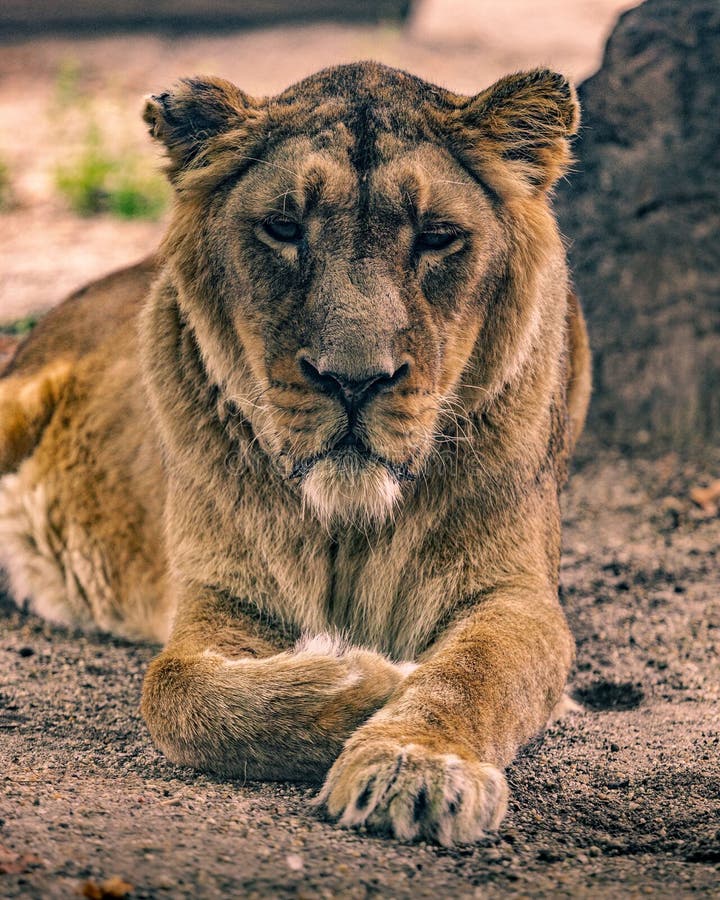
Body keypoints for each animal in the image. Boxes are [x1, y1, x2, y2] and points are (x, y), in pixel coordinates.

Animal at [0, 62, 590, 846]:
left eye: (437, 237)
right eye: (283, 228)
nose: (353, 379)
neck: (347, 525)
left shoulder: (516, 593)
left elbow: (473, 675)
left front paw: (413, 763)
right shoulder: (218, 595)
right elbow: (178, 690)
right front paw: (378, 678)